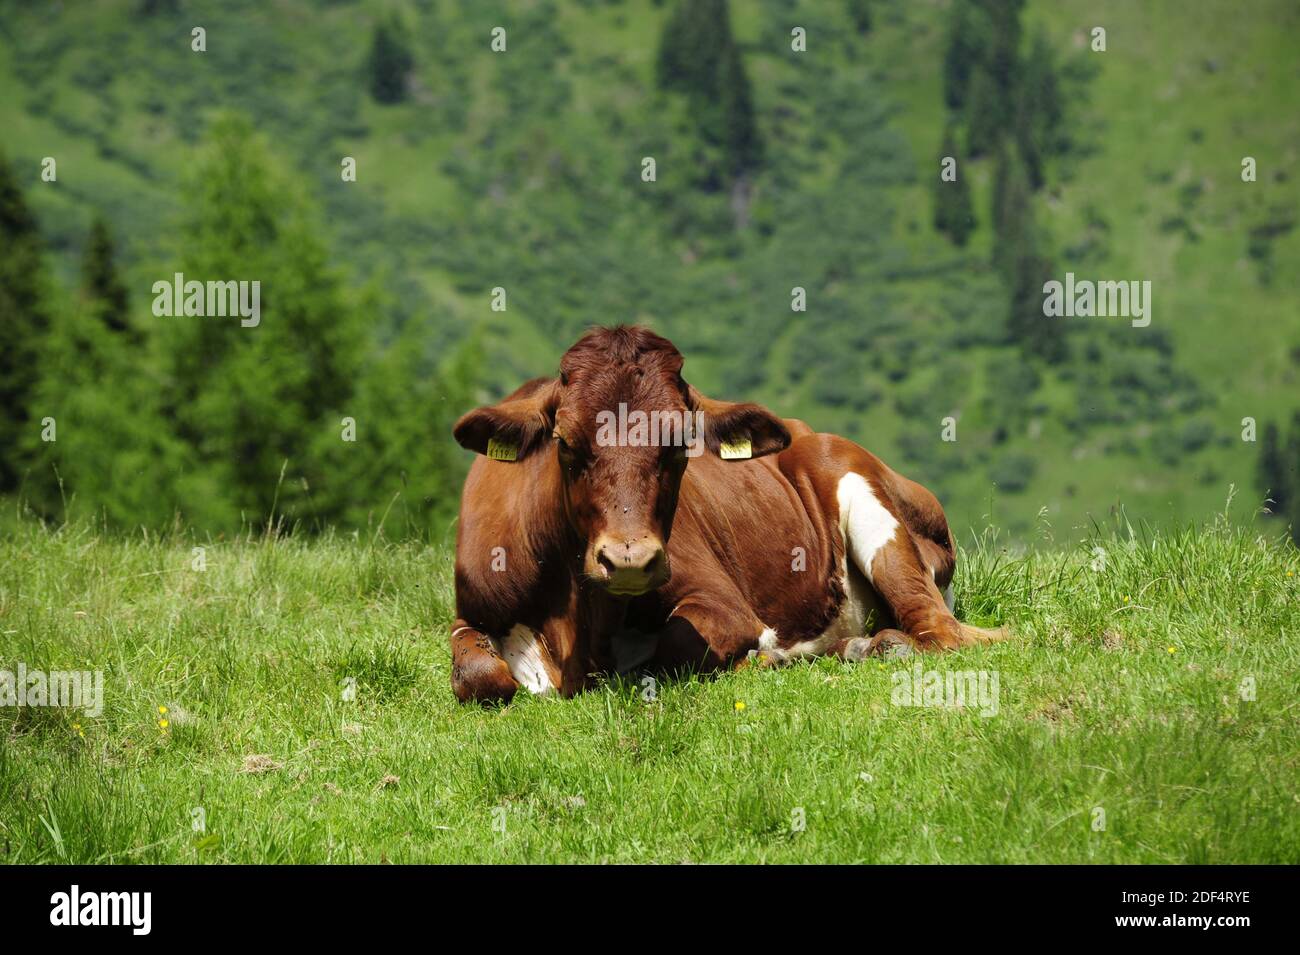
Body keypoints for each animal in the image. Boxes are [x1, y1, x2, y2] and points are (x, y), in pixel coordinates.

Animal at [449, 325, 1006, 704]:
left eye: (680, 444)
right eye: (565, 441)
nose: (629, 560)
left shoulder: (722, 603)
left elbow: (677, 648)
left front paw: (757, 658)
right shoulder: (470, 609)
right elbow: (477, 673)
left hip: (867, 500)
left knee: (943, 632)